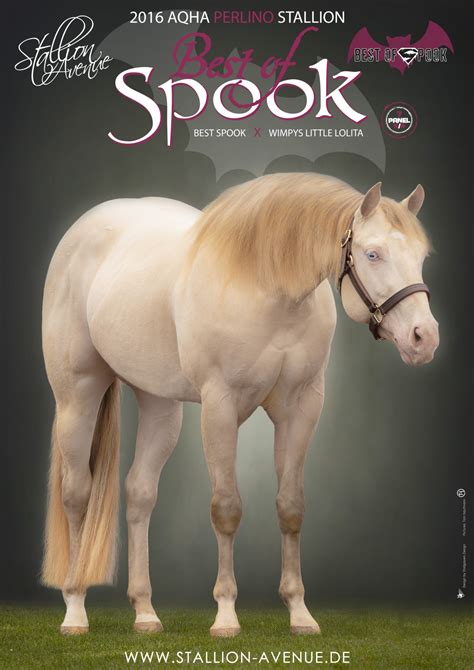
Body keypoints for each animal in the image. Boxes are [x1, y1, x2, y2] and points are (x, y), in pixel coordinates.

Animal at [41, 172, 439, 636]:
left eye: (420, 255)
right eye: (373, 253)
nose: (424, 338)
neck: (265, 287)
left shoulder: (302, 407)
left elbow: (291, 506)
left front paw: (299, 613)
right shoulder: (220, 405)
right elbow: (226, 508)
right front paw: (226, 614)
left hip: (160, 404)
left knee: (139, 493)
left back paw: (145, 613)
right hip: (77, 395)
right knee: (76, 493)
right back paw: (74, 610)